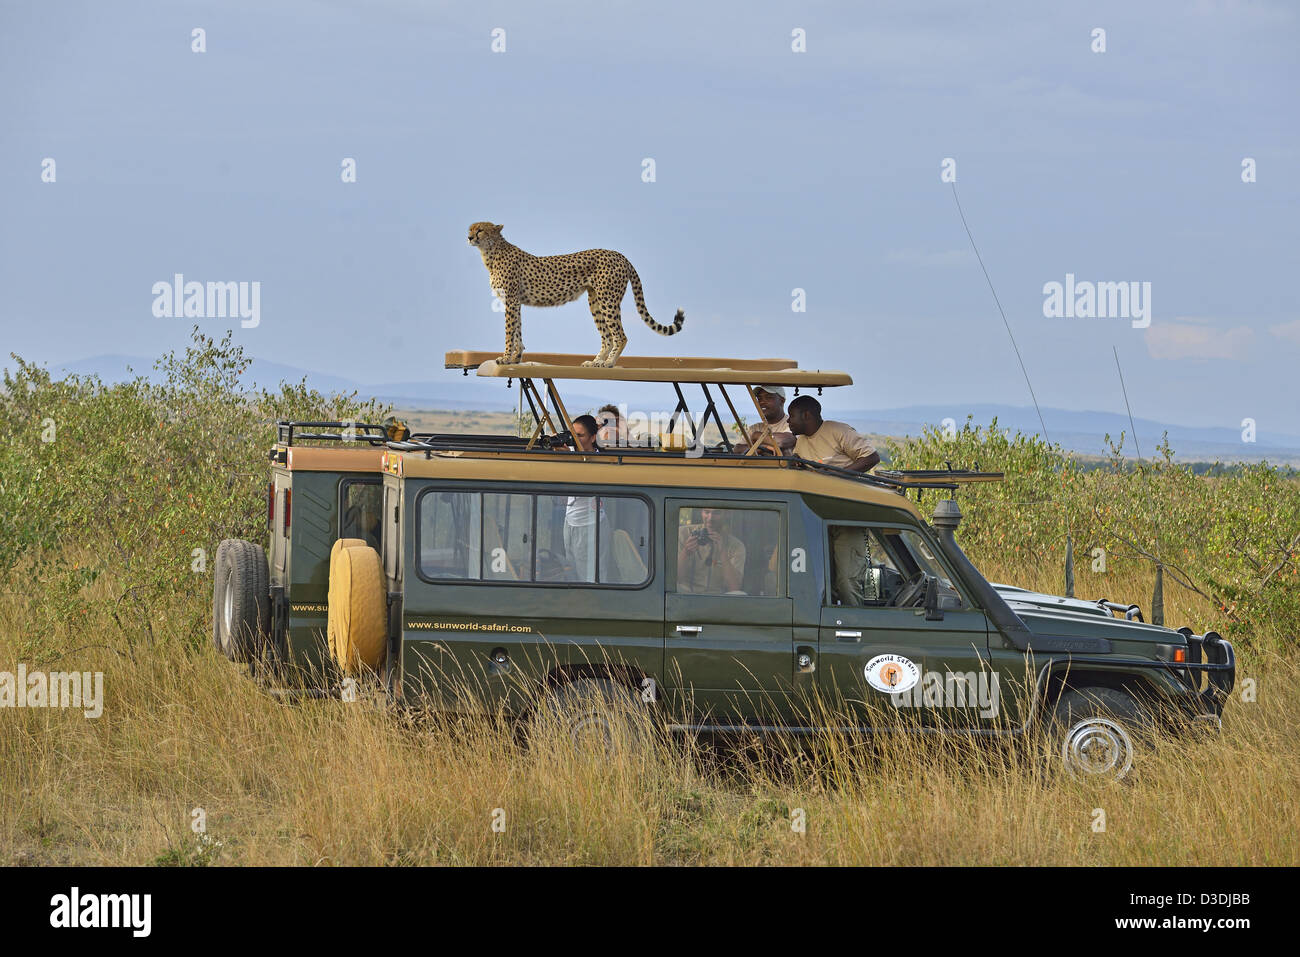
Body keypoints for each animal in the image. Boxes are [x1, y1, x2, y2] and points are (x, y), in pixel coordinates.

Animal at [467, 222, 684, 367]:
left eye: (480, 230)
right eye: (470, 229)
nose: (469, 237)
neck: (492, 252)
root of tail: (619, 255)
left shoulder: (511, 300)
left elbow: (509, 332)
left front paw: (505, 358)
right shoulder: (516, 301)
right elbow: (517, 331)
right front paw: (515, 358)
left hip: (608, 300)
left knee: (620, 335)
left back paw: (609, 362)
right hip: (595, 301)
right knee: (607, 336)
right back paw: (596, 362)